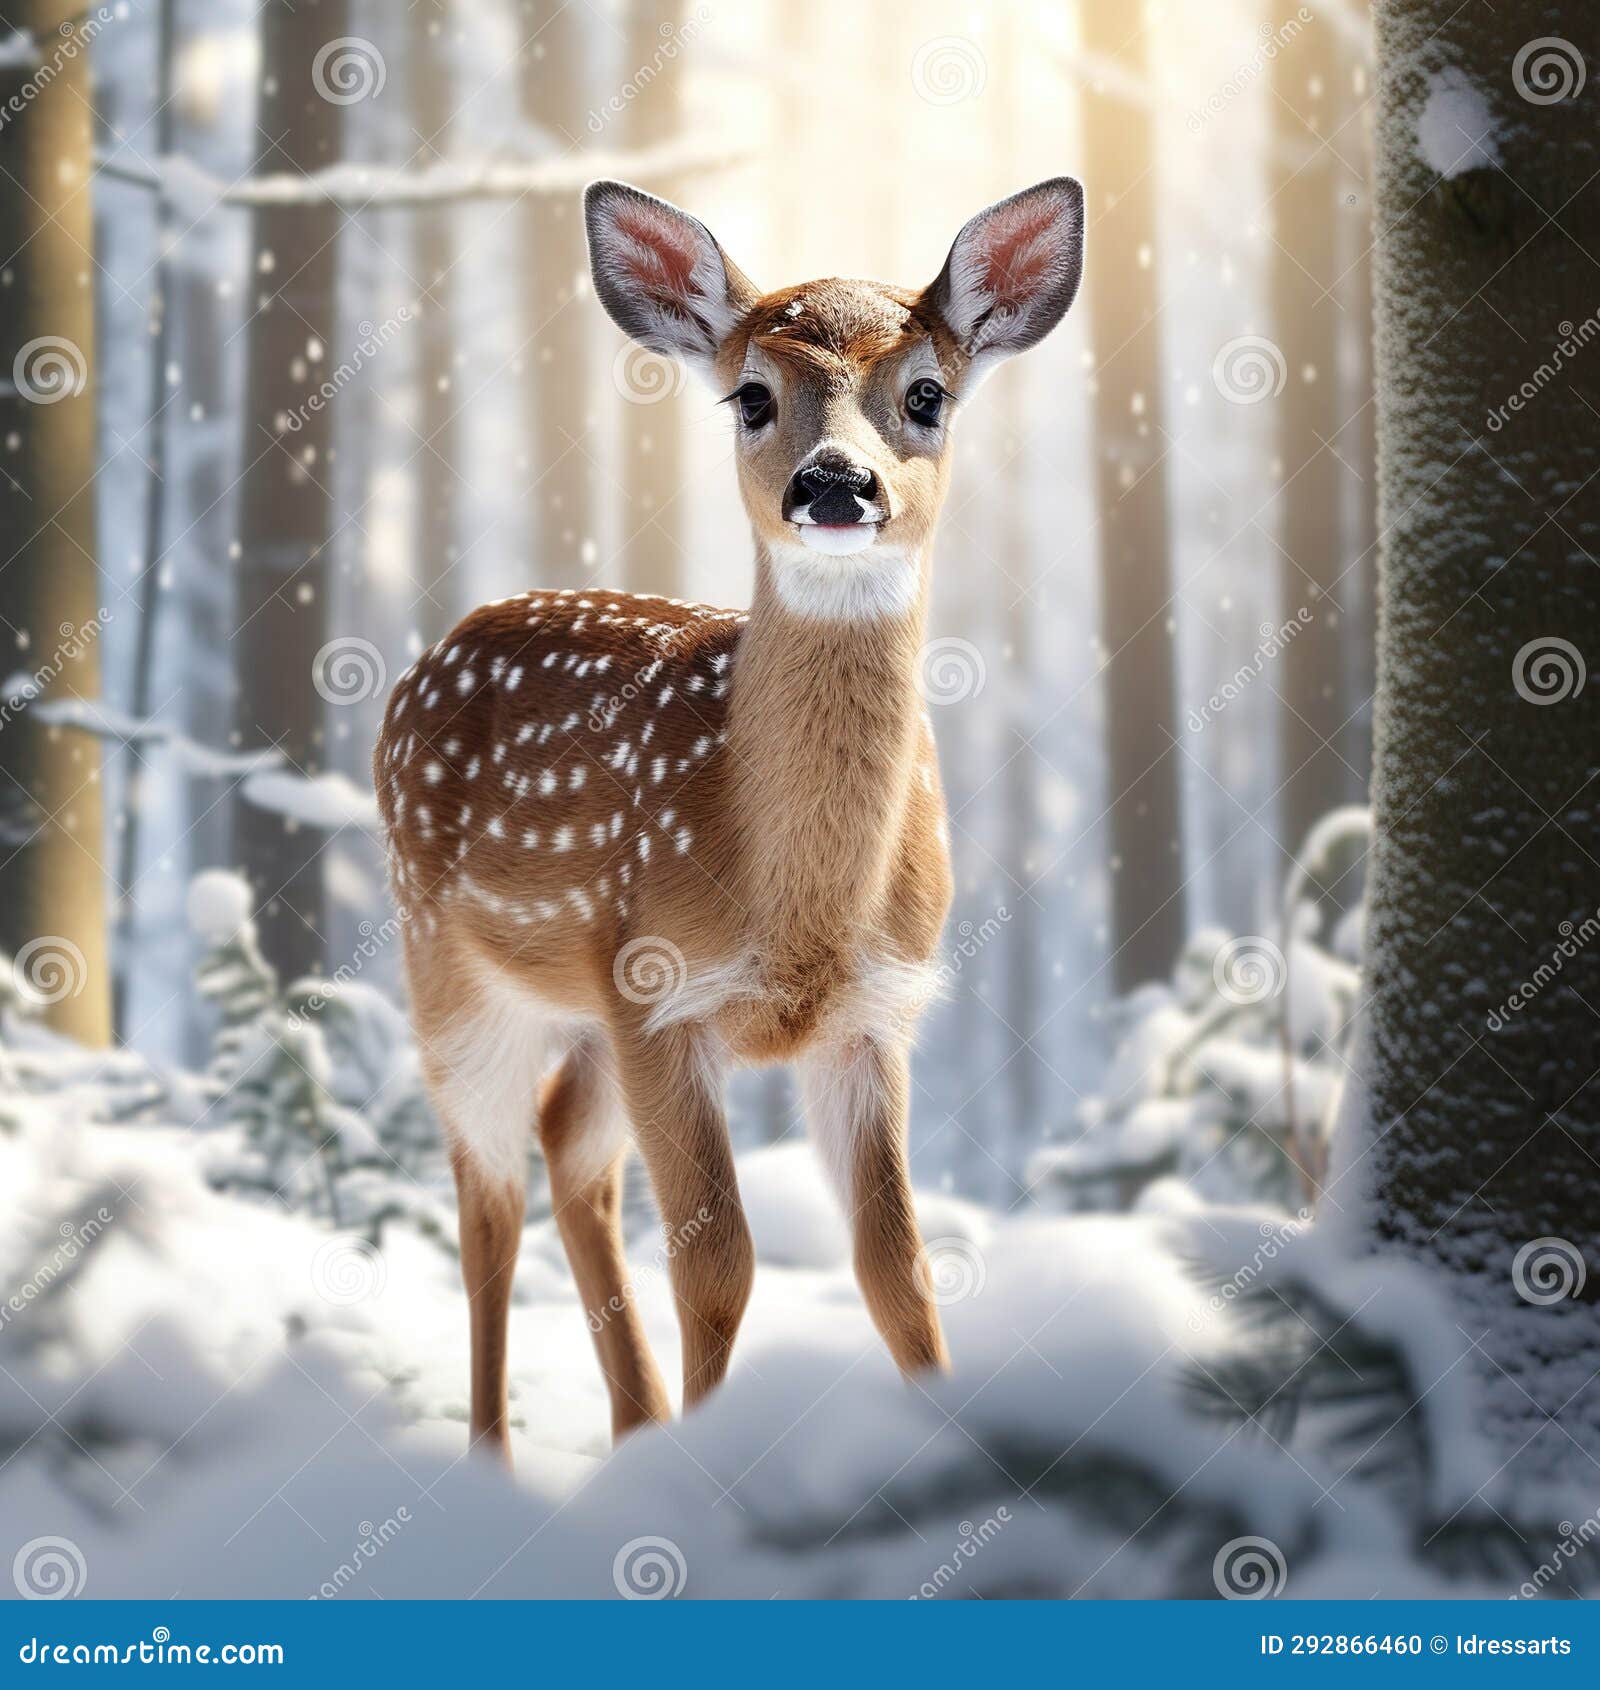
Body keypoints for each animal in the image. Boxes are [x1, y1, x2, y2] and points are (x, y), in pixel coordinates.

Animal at [374, 176, 1084, 1463]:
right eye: (752, 396)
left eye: (928, 393)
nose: (837, 483)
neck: (791, 896)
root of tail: (436, 649)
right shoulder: (663, 990)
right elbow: (717, 1265)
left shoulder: (872, 1015)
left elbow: (896, 1269)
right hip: (448, 962)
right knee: (485, 1187)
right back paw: (496, 1457)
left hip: (588, 1006)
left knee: (568, 1153)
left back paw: (635, 1425)